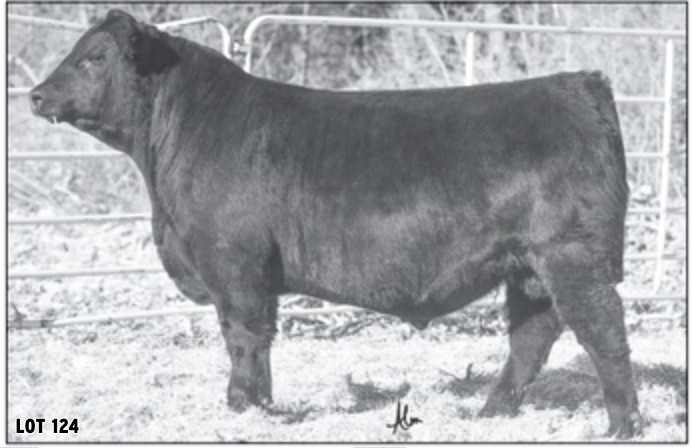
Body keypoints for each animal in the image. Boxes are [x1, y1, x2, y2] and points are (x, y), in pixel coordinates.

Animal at [29, 9, 642, 438]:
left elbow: (244, 337)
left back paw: (621, 426)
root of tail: (580, 83)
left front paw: (244, 406)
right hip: (528, 267)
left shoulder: (235, 265)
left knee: (604, 333)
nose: (35, 96)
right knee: (532, 335)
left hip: (573, 256)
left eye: (95, 57)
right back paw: (489, 413)